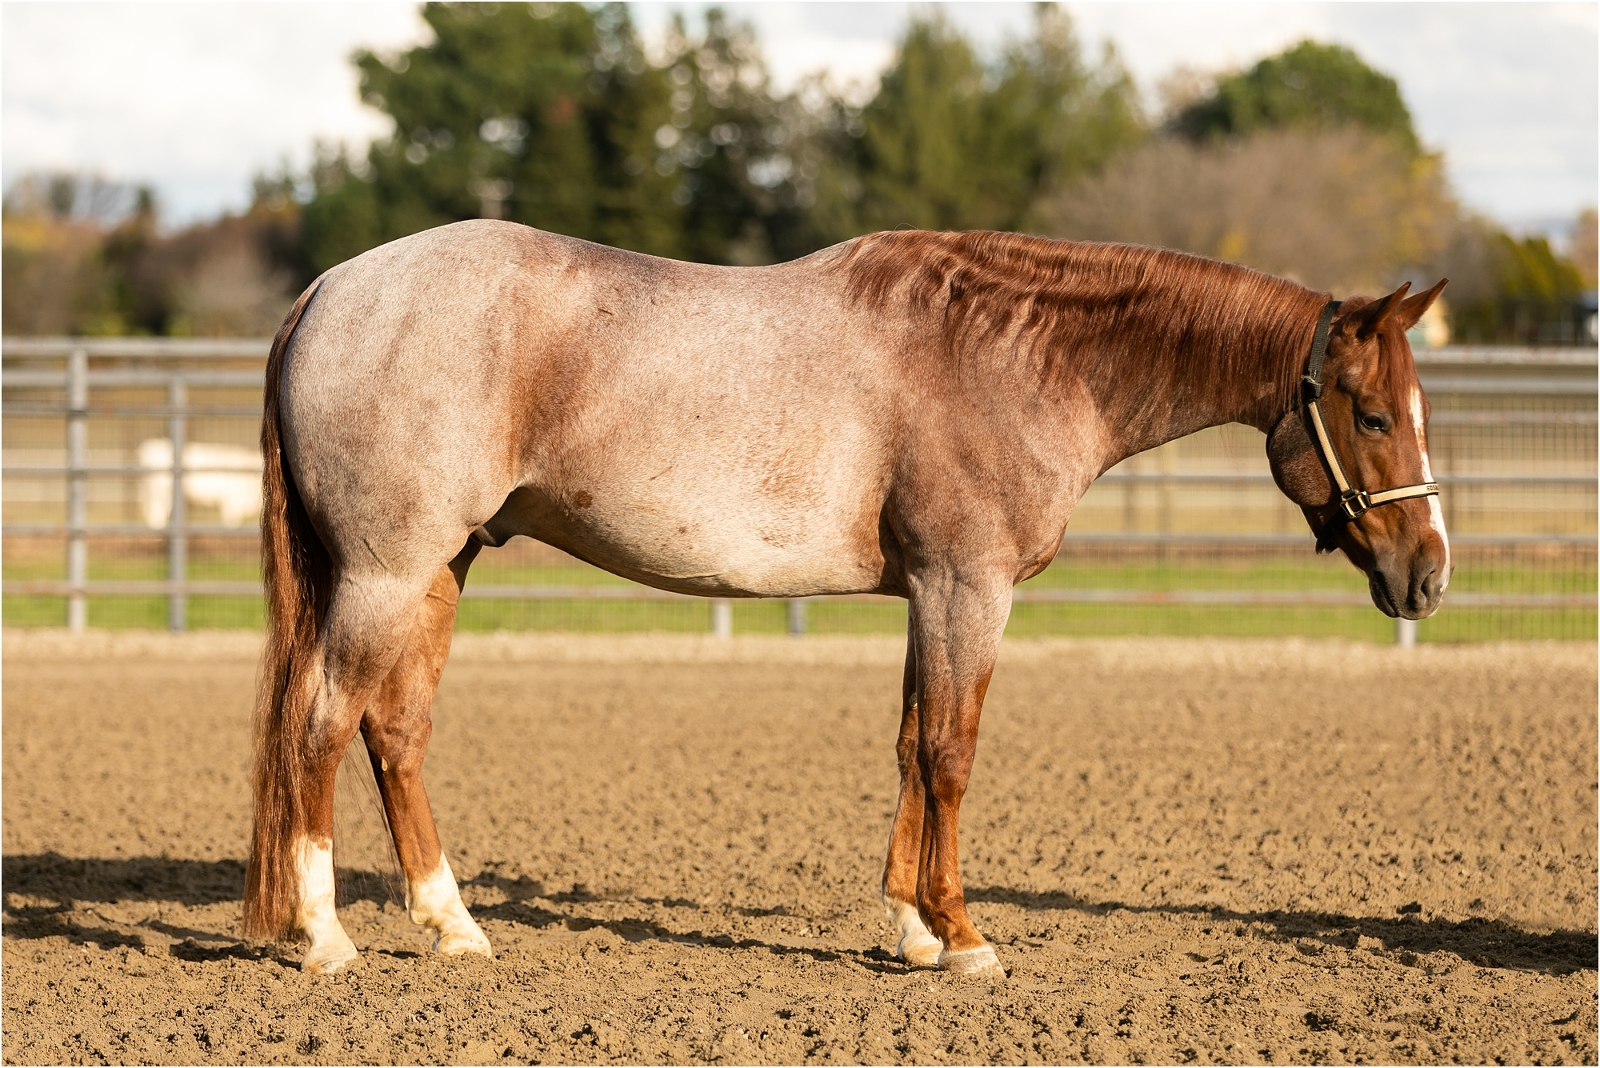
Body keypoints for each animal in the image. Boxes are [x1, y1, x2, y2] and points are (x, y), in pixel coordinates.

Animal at [243, 221, 1450, 976]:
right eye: (1372, 414)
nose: (1429, 574)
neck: (1013, 353)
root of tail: (332, 288)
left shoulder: (930, 593)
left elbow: (912, 744)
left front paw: (910, 926)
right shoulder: (969, 589)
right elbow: (953, 753)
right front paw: (963, 936)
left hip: (441, 570)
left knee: (395, 733)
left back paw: (452, 927)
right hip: (387, 575)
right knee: (321, 725)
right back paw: (326, 938)